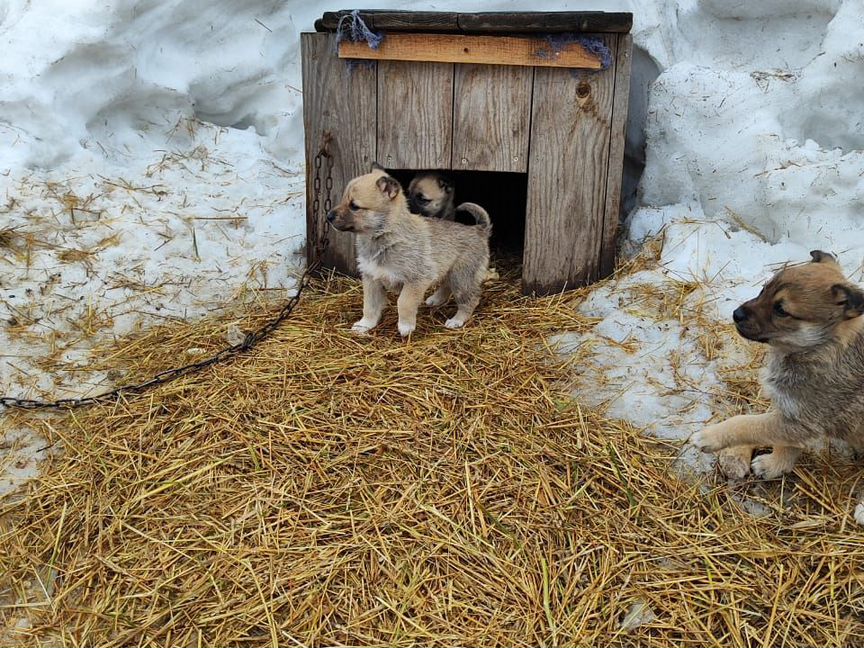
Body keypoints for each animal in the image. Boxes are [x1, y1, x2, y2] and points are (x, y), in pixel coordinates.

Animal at [326, 162, 492, 336]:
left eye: (354, 206)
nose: (328, 216)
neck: (383, 237)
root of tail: (479, 229)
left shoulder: (416, 280)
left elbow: (404, 302)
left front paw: (406, 327)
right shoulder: (371, 279)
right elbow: (369, 306)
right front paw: (365, 325)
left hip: (462, 277)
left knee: (470, 300)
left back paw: (456, 320)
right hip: (450, 271)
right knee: (446, 285)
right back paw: (435, 299)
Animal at [692, 251, 864, 524]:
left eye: (781, 310)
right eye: (763, 289)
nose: (736, 314)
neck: (821, 348)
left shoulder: (800, 420)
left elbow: (746, 423)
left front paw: (709, 436)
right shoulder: (793, 416)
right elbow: (787, 445)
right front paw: (774, 465)